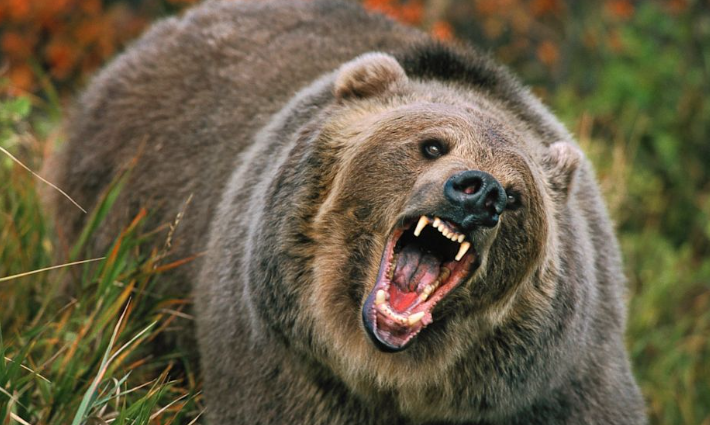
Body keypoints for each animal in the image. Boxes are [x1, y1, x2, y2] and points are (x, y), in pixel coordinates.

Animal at [43, 0, 647, 424]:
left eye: (519, 195)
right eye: (433, 144)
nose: (481, 193)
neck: (392, 375)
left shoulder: (557, 383)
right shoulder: (283, 361)